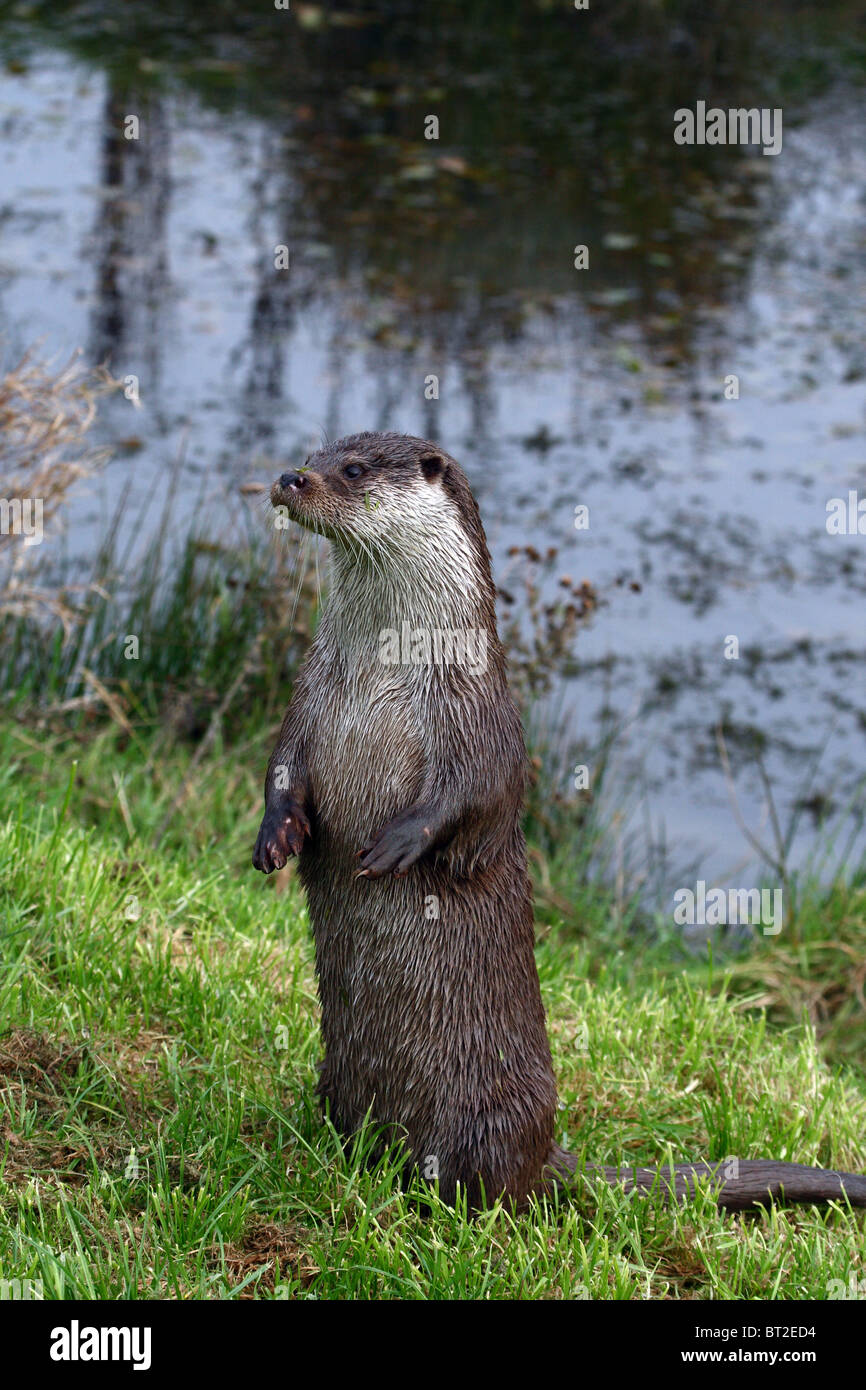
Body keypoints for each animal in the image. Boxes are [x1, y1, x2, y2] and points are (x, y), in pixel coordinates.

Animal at [253, 431, 866, 1213]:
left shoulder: (480, 713)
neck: (382, 670)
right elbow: (282, 767)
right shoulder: (309, 691)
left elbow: (479, 795)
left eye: (353, 469)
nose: (290, 477)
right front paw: (275, 838)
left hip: (492, 1119)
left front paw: (397, 843)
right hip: (335, 1075)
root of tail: (547, 1150)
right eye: (317, 451)